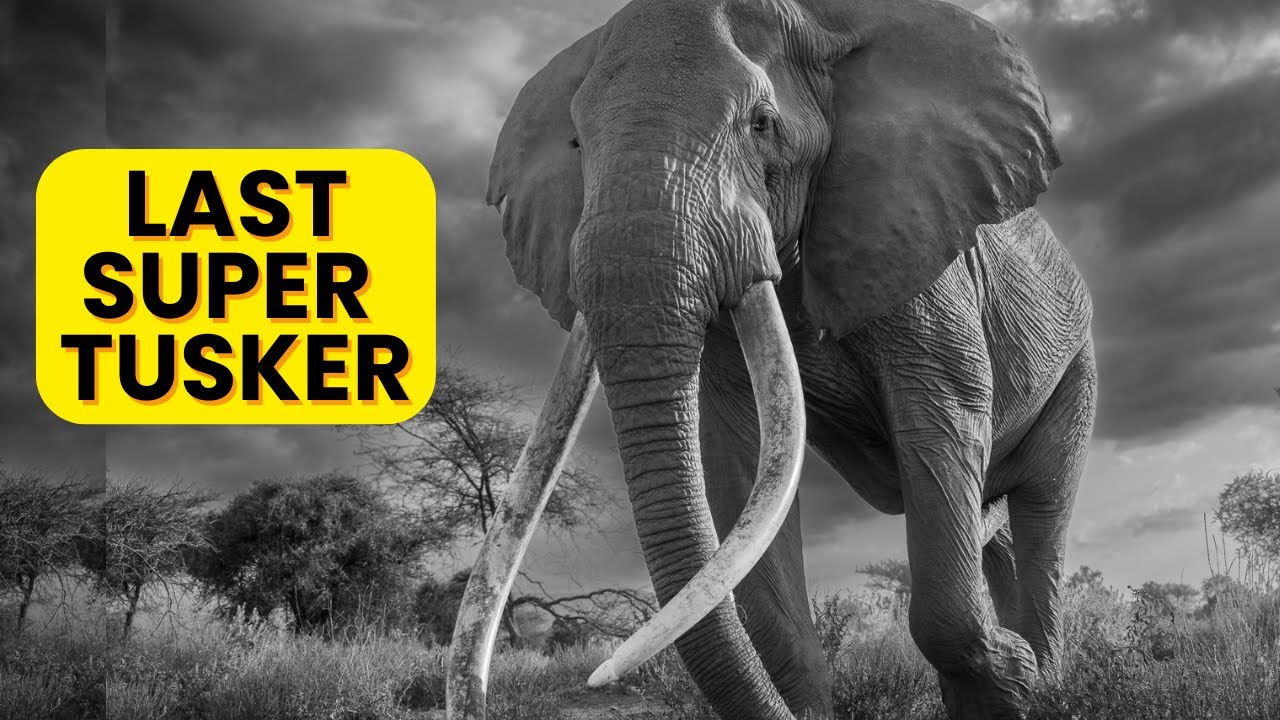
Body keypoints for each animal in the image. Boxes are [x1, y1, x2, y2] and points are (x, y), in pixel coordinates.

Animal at [447, 0, 1096, 718]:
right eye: (578, 146)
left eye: (761, 124)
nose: (598, 678)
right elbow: (739, 462)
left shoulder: (920, 253)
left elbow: (940, 423)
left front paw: (1014, 676)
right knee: (997, 528)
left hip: (1077, 365)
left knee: (1041, 508)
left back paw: (1045, 673)